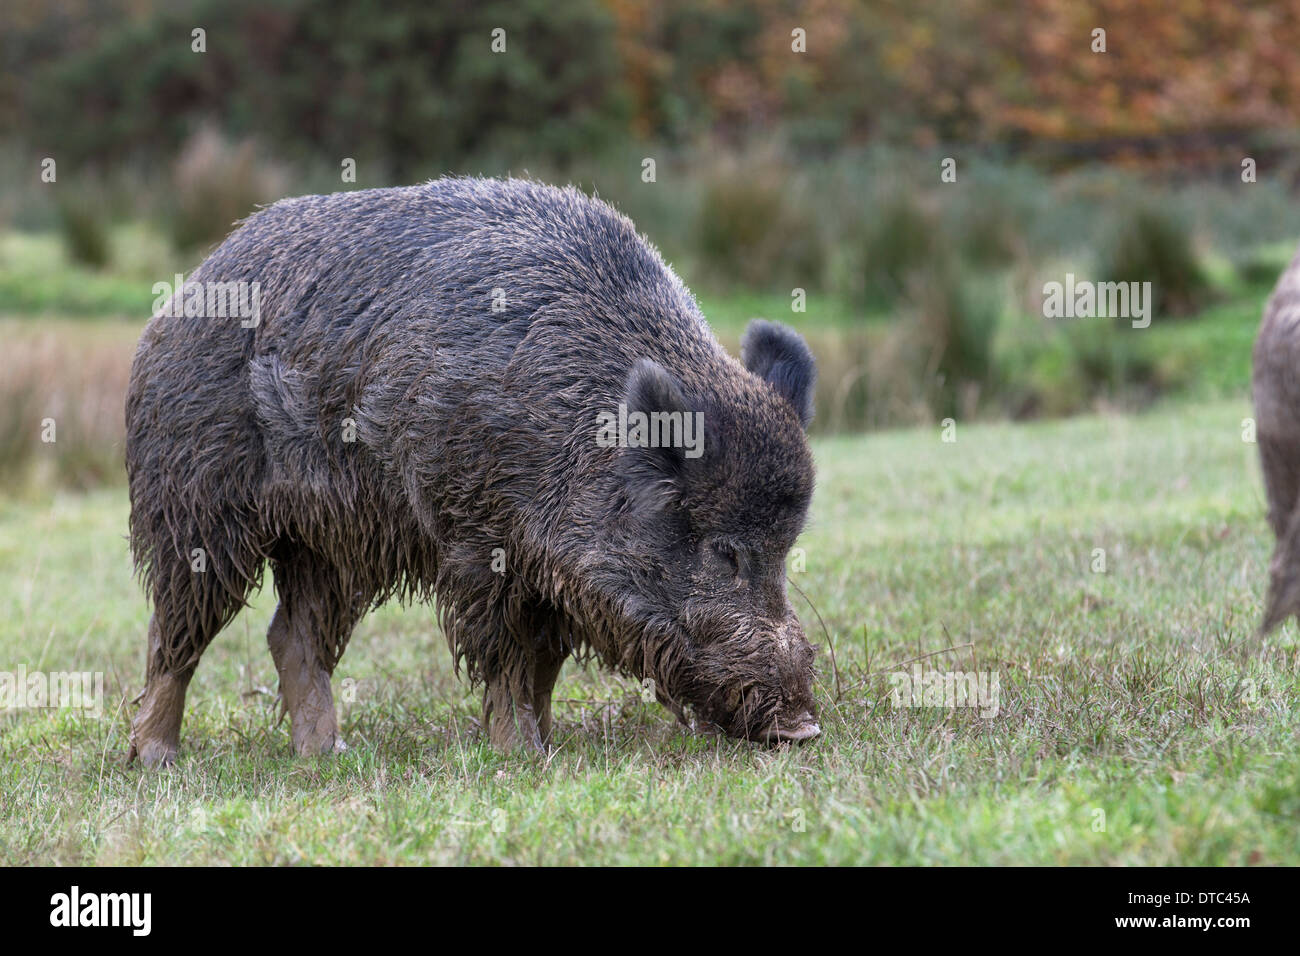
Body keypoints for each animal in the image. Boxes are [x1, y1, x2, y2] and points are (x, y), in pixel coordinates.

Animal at [125, 176, 820, 766]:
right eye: (724, 551)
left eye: (787, 548)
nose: (803, 728)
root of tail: (188, 288)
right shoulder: (479, 543)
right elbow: (506, 658)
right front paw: (524, 757)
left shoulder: (553, 579)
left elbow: (545, 664)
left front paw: (547, 745)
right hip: (194, 506)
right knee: (175, 632)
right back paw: (156, 758)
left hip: (333, 541)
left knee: (290, 633)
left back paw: (325, 755)